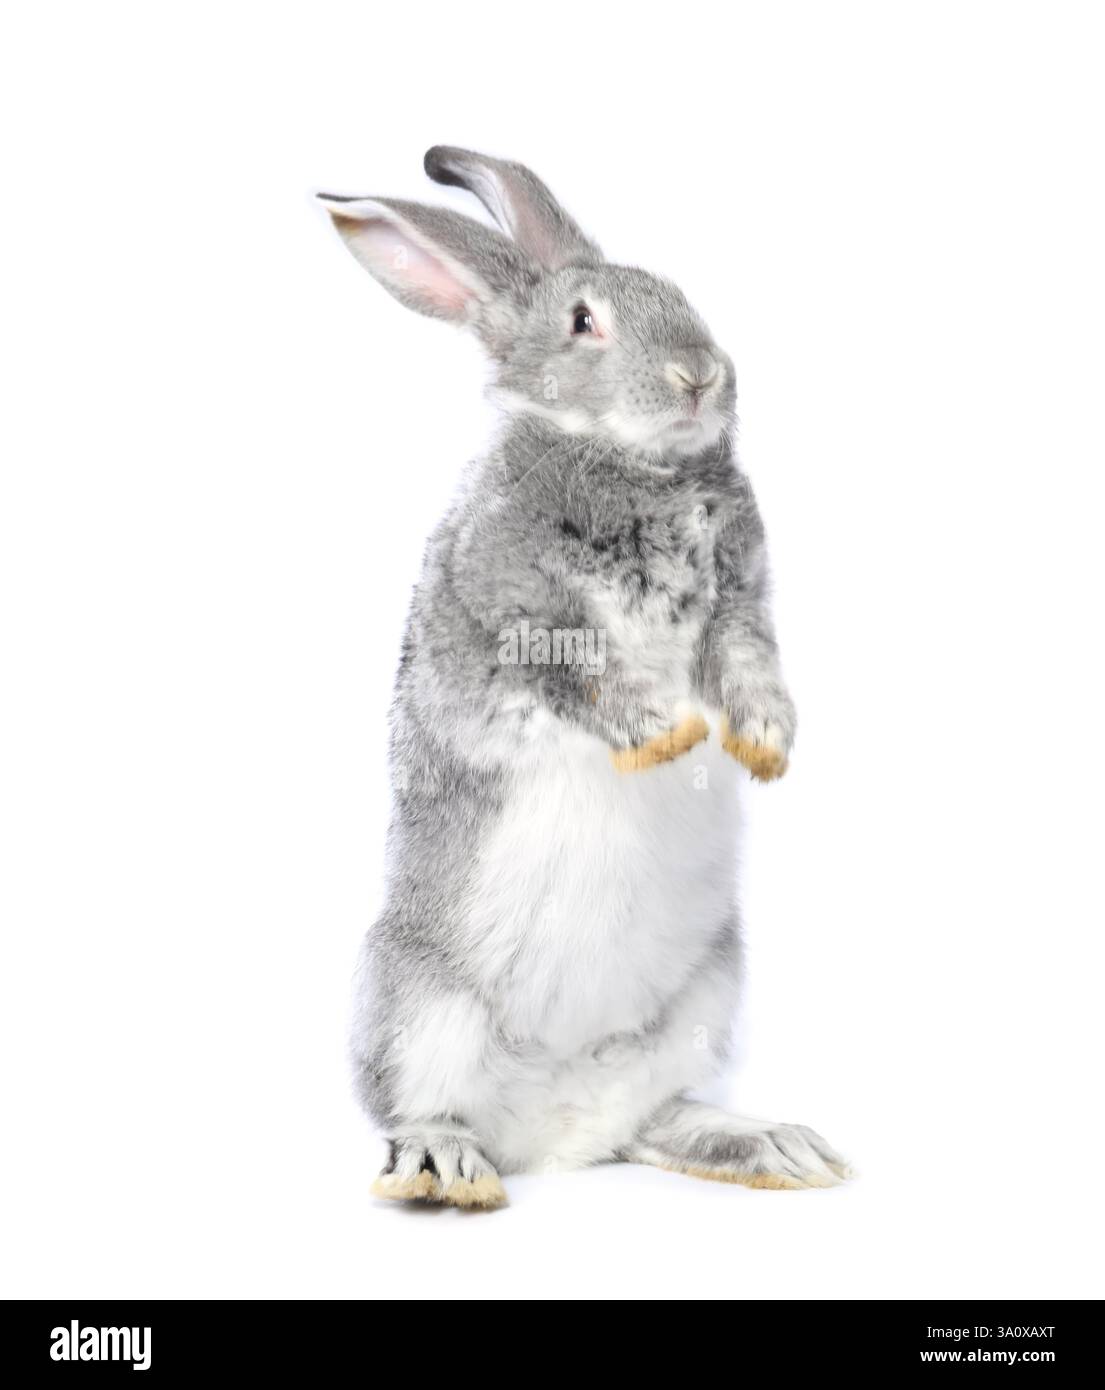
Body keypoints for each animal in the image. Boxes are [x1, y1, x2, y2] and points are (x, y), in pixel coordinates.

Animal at [318, 146, 849, 1208]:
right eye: (581, 322)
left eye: (679, 292)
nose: (700, 375)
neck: (629, 460)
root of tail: (550, 1137)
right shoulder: (524, 612)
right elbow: (593, 679)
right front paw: (672, 735)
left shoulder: (739, 604)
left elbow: (749, 660)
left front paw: (763, 747)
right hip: (415, 1002)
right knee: (426, 1111)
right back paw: (447, 1169)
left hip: (702, 995)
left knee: (649, 1120)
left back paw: (773, 1147)